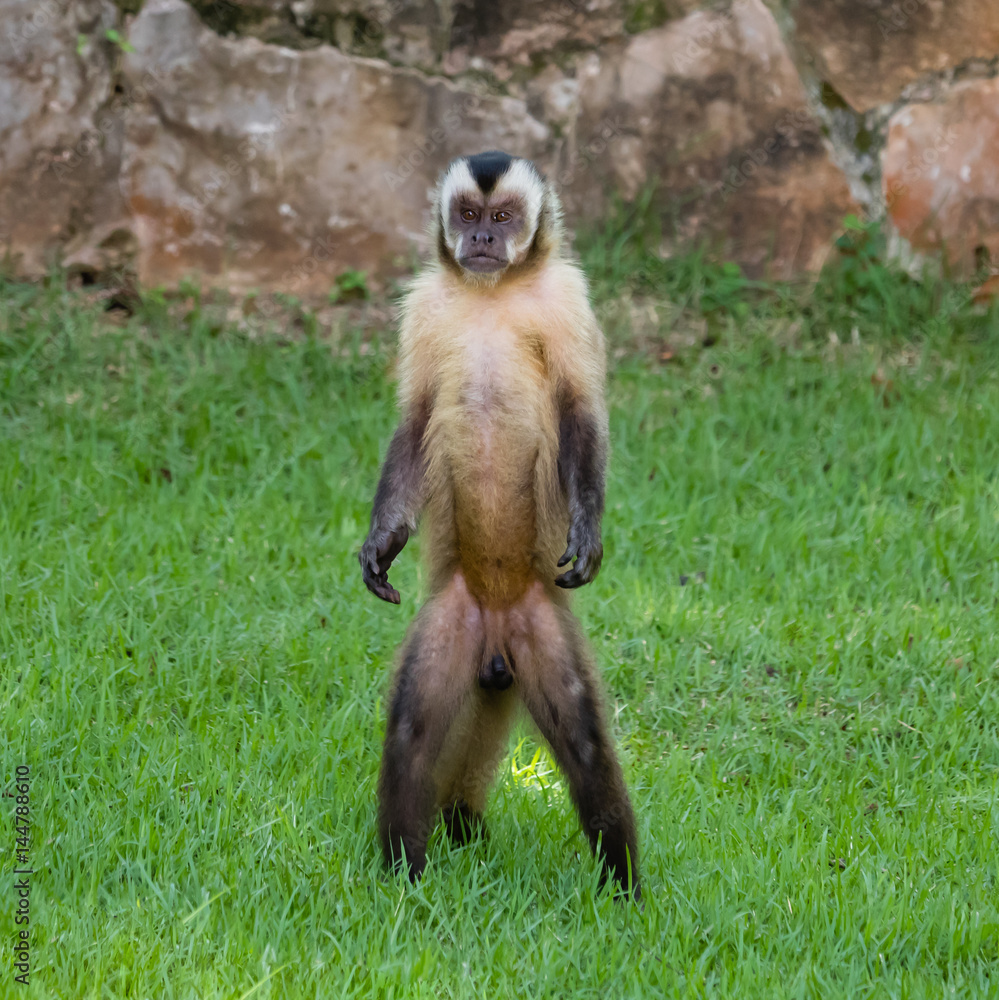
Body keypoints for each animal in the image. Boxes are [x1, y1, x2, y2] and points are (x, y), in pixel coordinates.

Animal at [359, 150, 640, 898]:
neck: (492, 293)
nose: (482, 240)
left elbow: (580, 416)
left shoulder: (569, 297)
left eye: (505, 217)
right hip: (453, 616)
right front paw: (382, 542)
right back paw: (405, 874)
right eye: (468, 215)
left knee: (585, 743)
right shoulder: (423, 305)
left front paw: (587, 532)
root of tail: (494, 632)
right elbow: (416, 420)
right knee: (412, 733)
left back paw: (625, 890)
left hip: (538, 621)